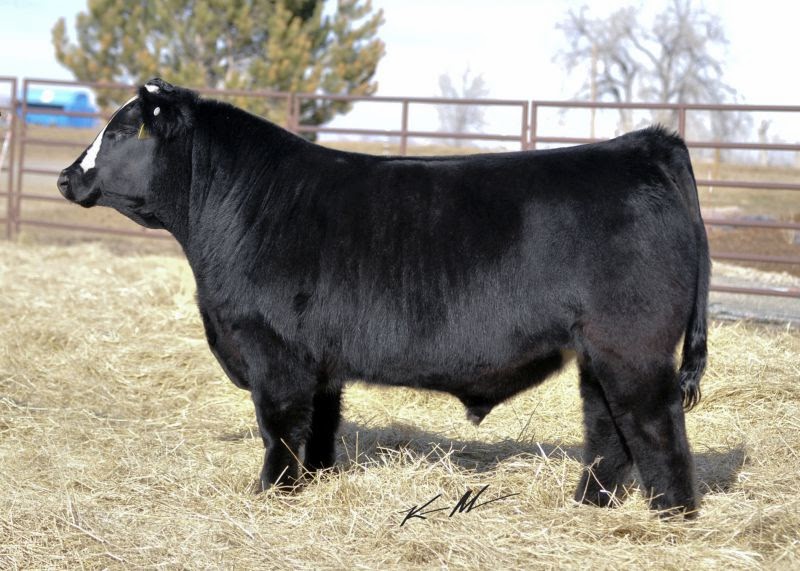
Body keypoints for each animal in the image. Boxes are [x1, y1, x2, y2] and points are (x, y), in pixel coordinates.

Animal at [58, 78, 709, 517]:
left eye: (122, 131)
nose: (66, 177)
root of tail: (643, 146)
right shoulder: (319, 361)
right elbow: (320, 426)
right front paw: (313, 482)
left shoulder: (273, 350)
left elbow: (279, 427)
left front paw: (269, 492)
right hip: (598, 354)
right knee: (608, 431)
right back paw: (586, 505)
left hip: (633, 349)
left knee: (657, 429)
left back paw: (671, 517)